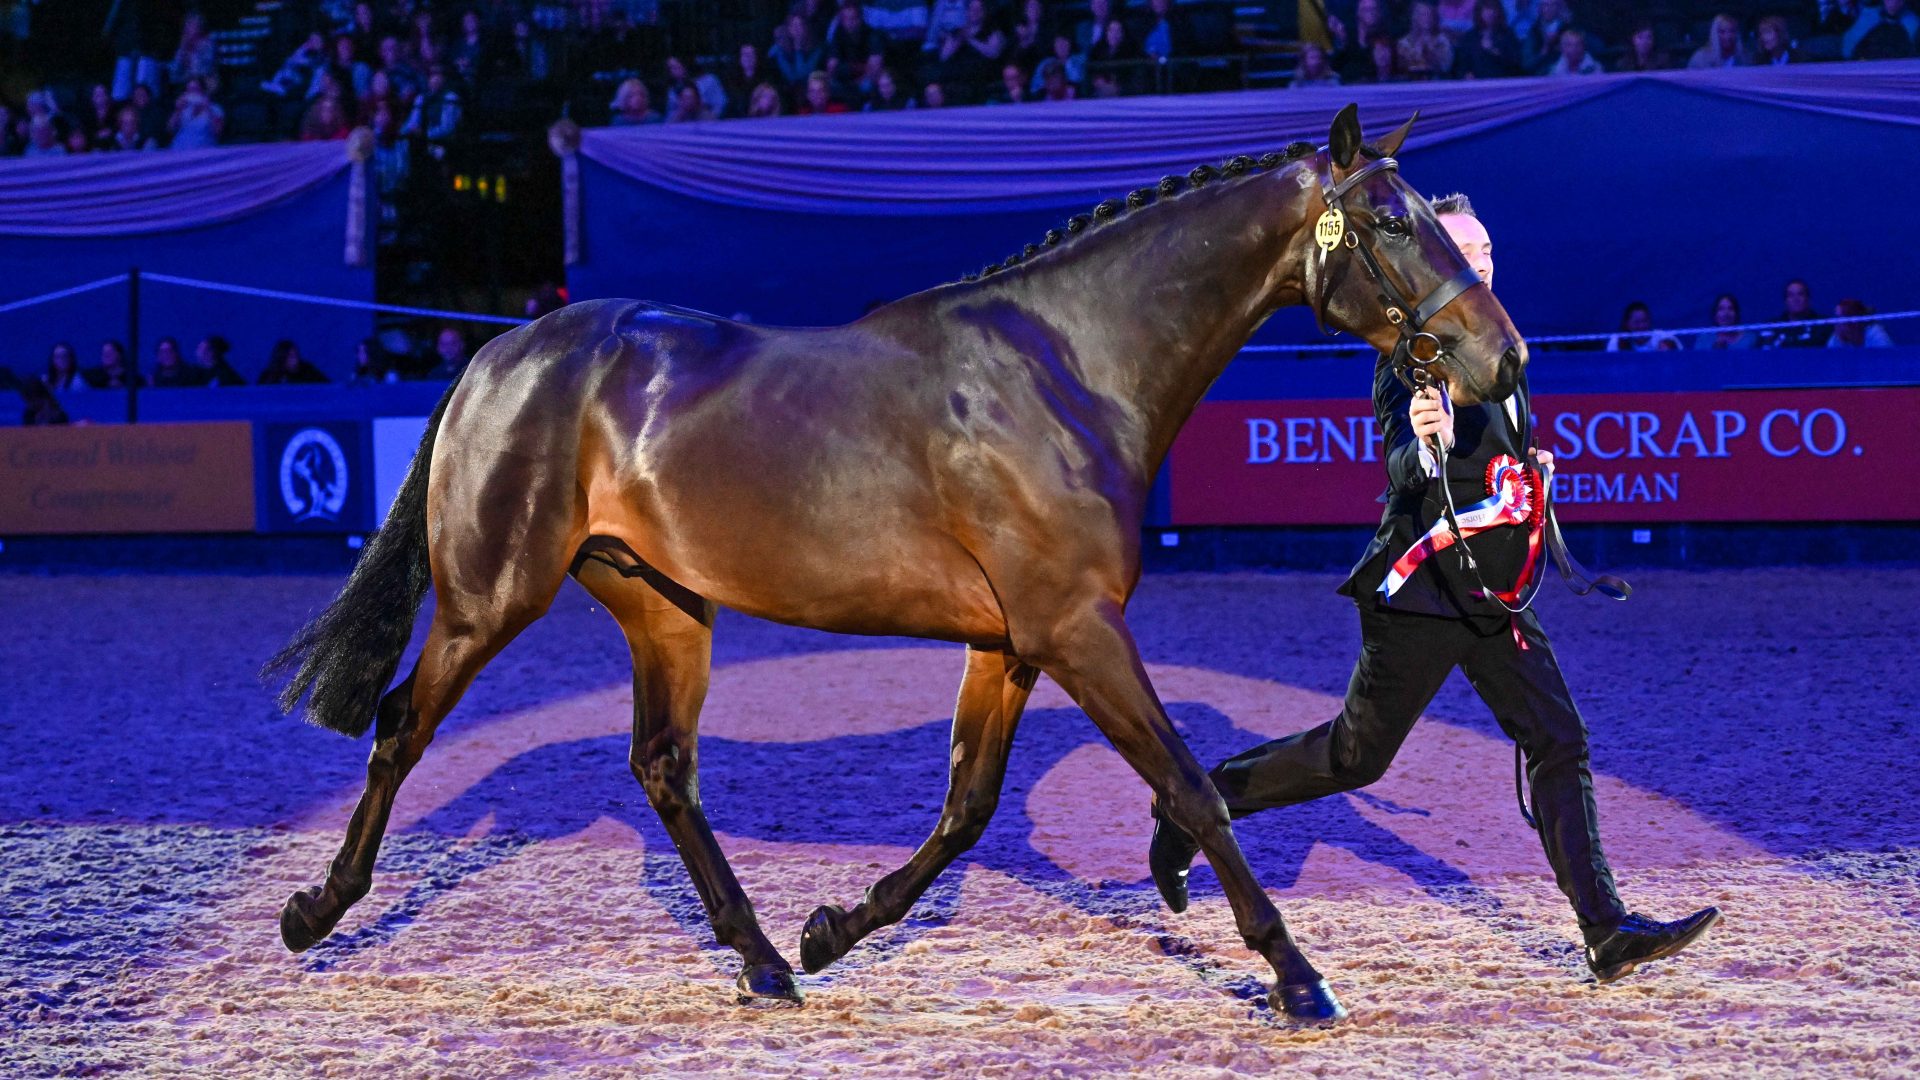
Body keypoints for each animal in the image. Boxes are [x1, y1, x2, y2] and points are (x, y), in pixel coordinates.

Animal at [264, 104, 1525, 1023]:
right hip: (488, 598)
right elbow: (1191, 787)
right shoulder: (1077, 630)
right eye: (1392, 224)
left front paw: (833, 930)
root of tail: (500, 352)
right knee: (401, 729)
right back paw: (314, 913)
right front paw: (1299, 977)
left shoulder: (1011, 642)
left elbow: (967, 808)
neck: (1067, 368)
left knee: (664, 768)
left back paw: (766, 959)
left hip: (665, 607)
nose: (1500, 356)